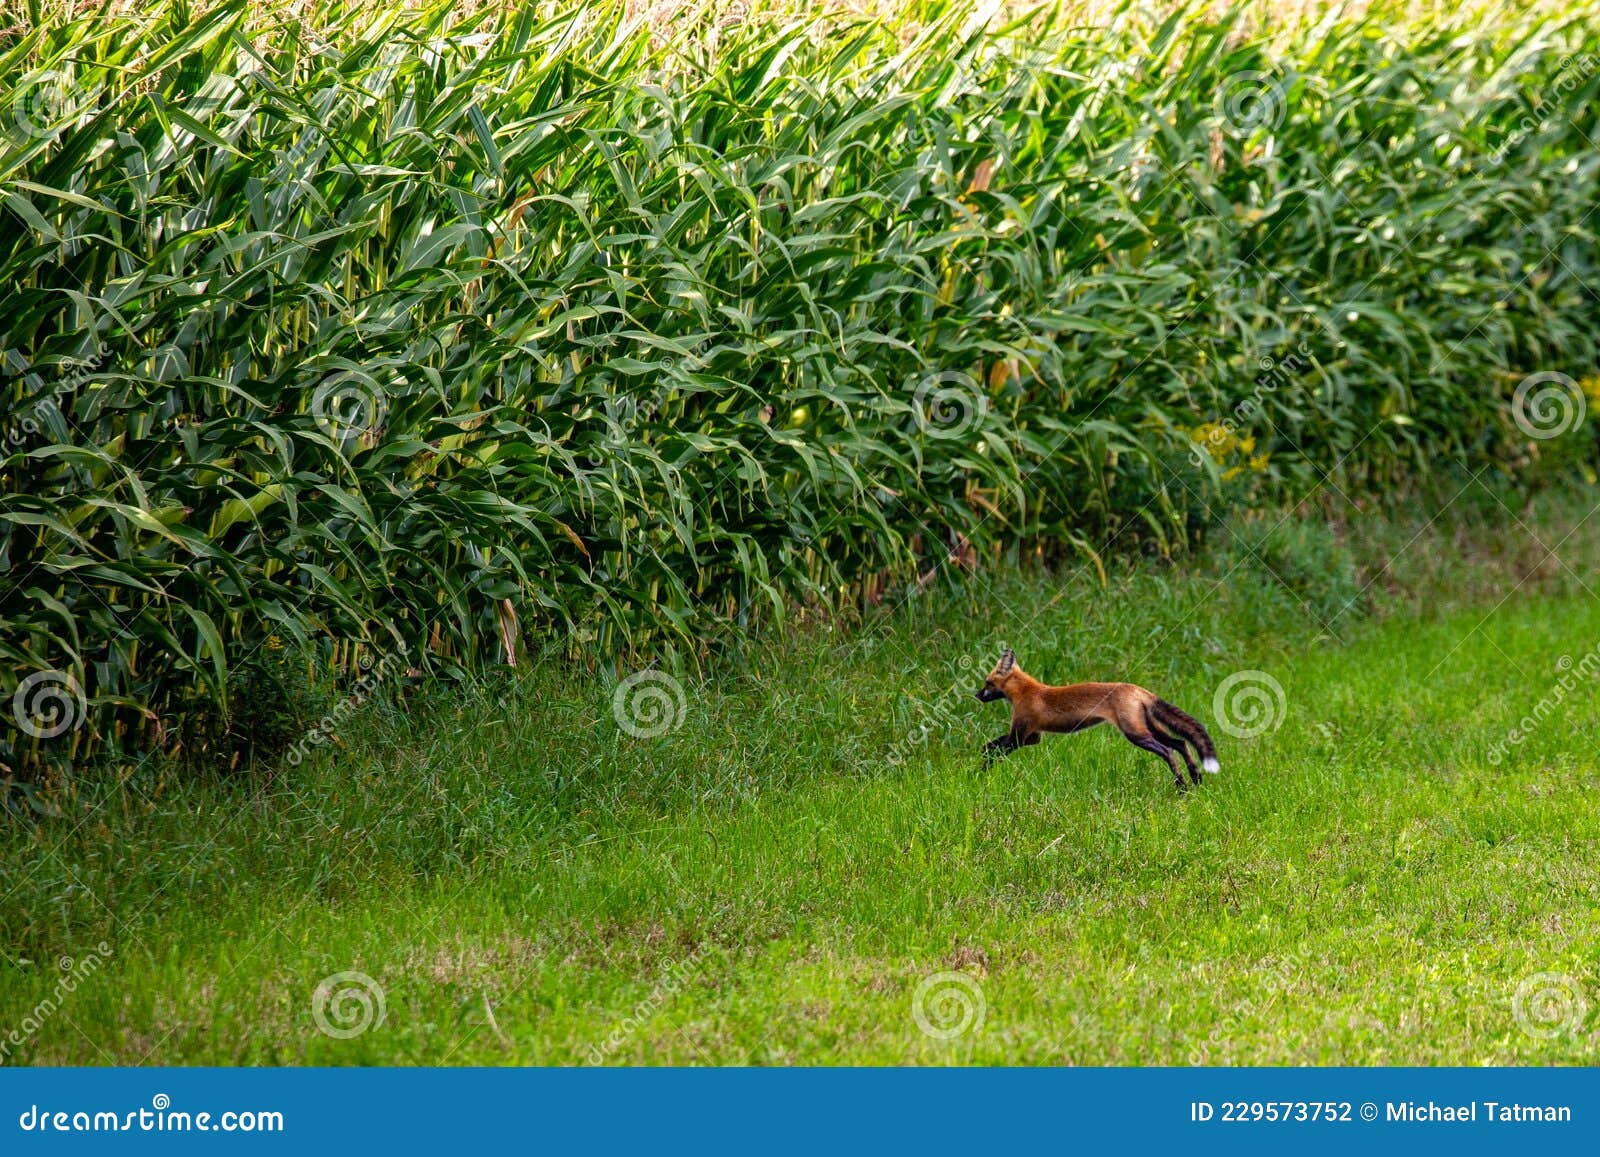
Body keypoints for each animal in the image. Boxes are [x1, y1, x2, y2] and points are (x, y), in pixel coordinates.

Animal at [974, 647, 1220, 790]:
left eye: (987, 682)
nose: (976, 696)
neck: (1026, 692)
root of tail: (1138, 689)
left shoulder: (1021, 734)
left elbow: (994, 748)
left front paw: (980, 771)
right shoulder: (1033, 737)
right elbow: (992, 745)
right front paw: (980, 767)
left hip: (1136, 734)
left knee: (1168, 750)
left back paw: (1181, 786)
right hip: (1150, 728)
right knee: (1181, 743)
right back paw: (1194, 779)